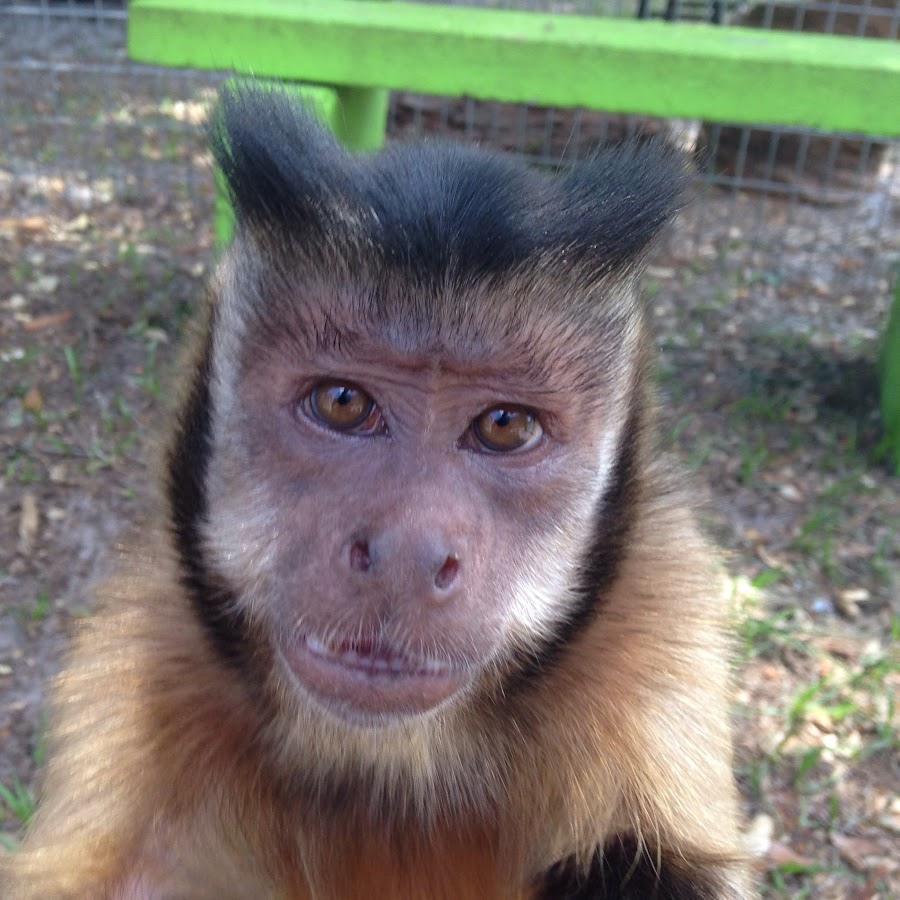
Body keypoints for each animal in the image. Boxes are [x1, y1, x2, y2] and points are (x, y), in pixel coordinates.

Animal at [1, 82, 752, 899]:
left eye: (505, 425)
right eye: (342, 403)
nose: (406, 553)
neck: (391, 769)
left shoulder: (656, 637)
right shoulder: (146, 666)